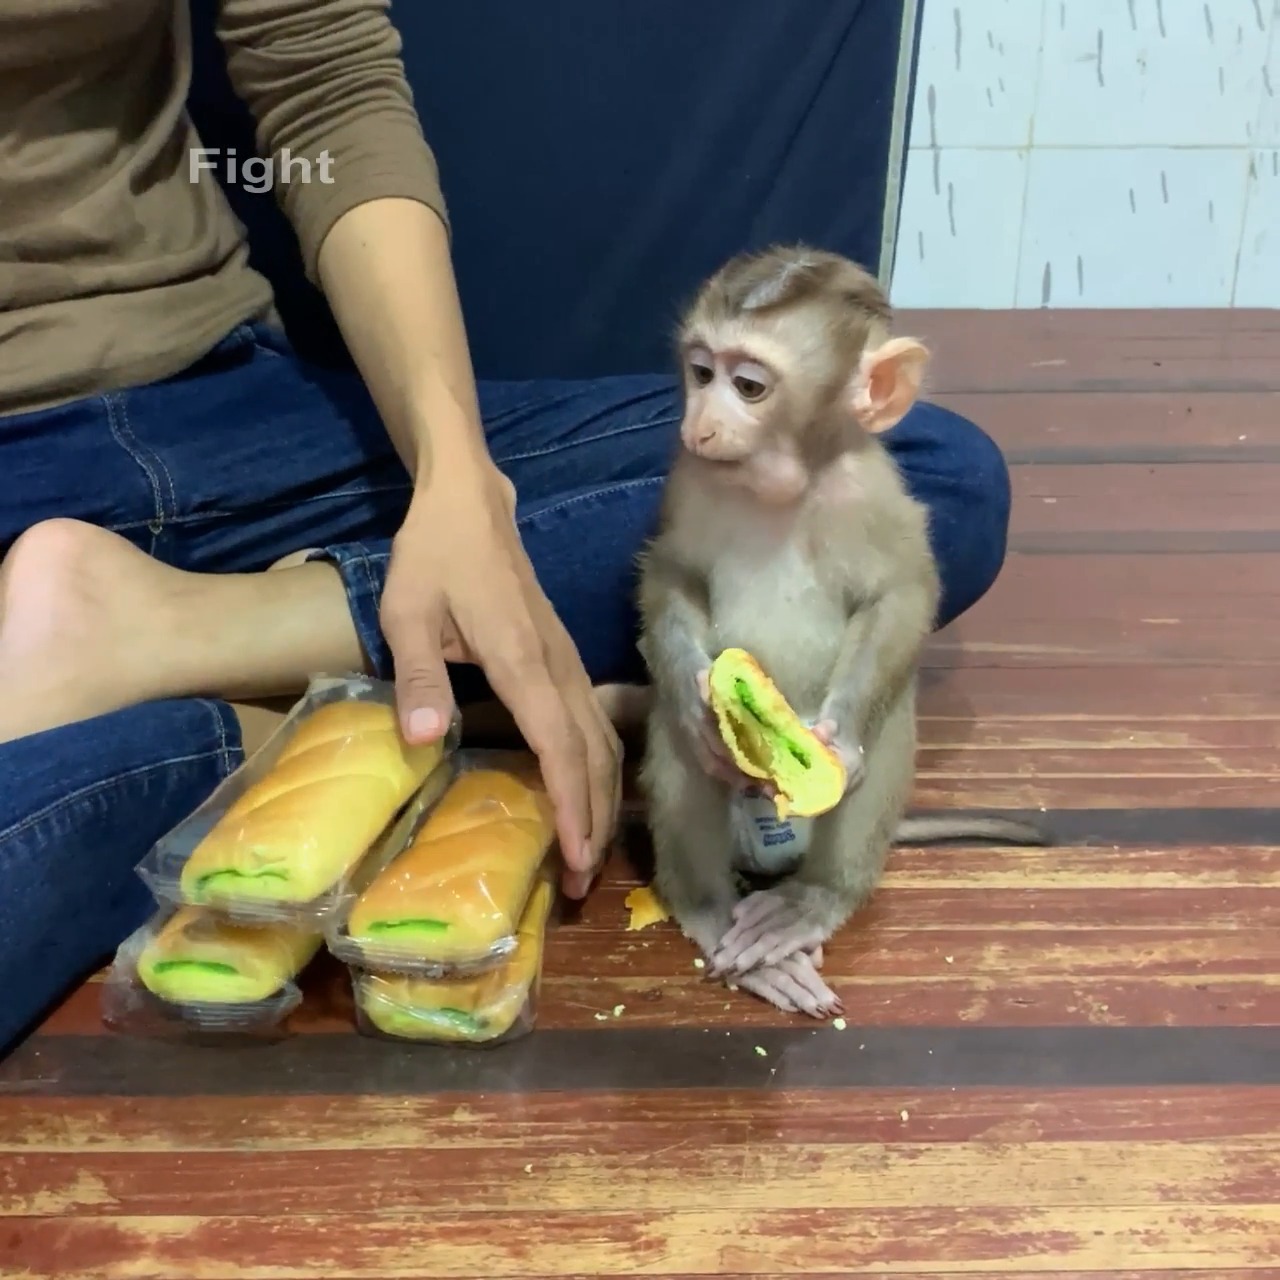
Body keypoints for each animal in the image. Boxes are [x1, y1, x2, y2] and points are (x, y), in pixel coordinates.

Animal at [635, 244, 1045, 1019]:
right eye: (700, 372)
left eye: (748, 386)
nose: (697, 424)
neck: (781, 488)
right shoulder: (690, 479)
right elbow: (672, 576)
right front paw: (696, 696)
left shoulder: (871, 494)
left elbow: (902, 594)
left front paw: (844, 742)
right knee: (680, 744)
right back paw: (708, 907)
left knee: (890, 722)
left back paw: (813, 902)